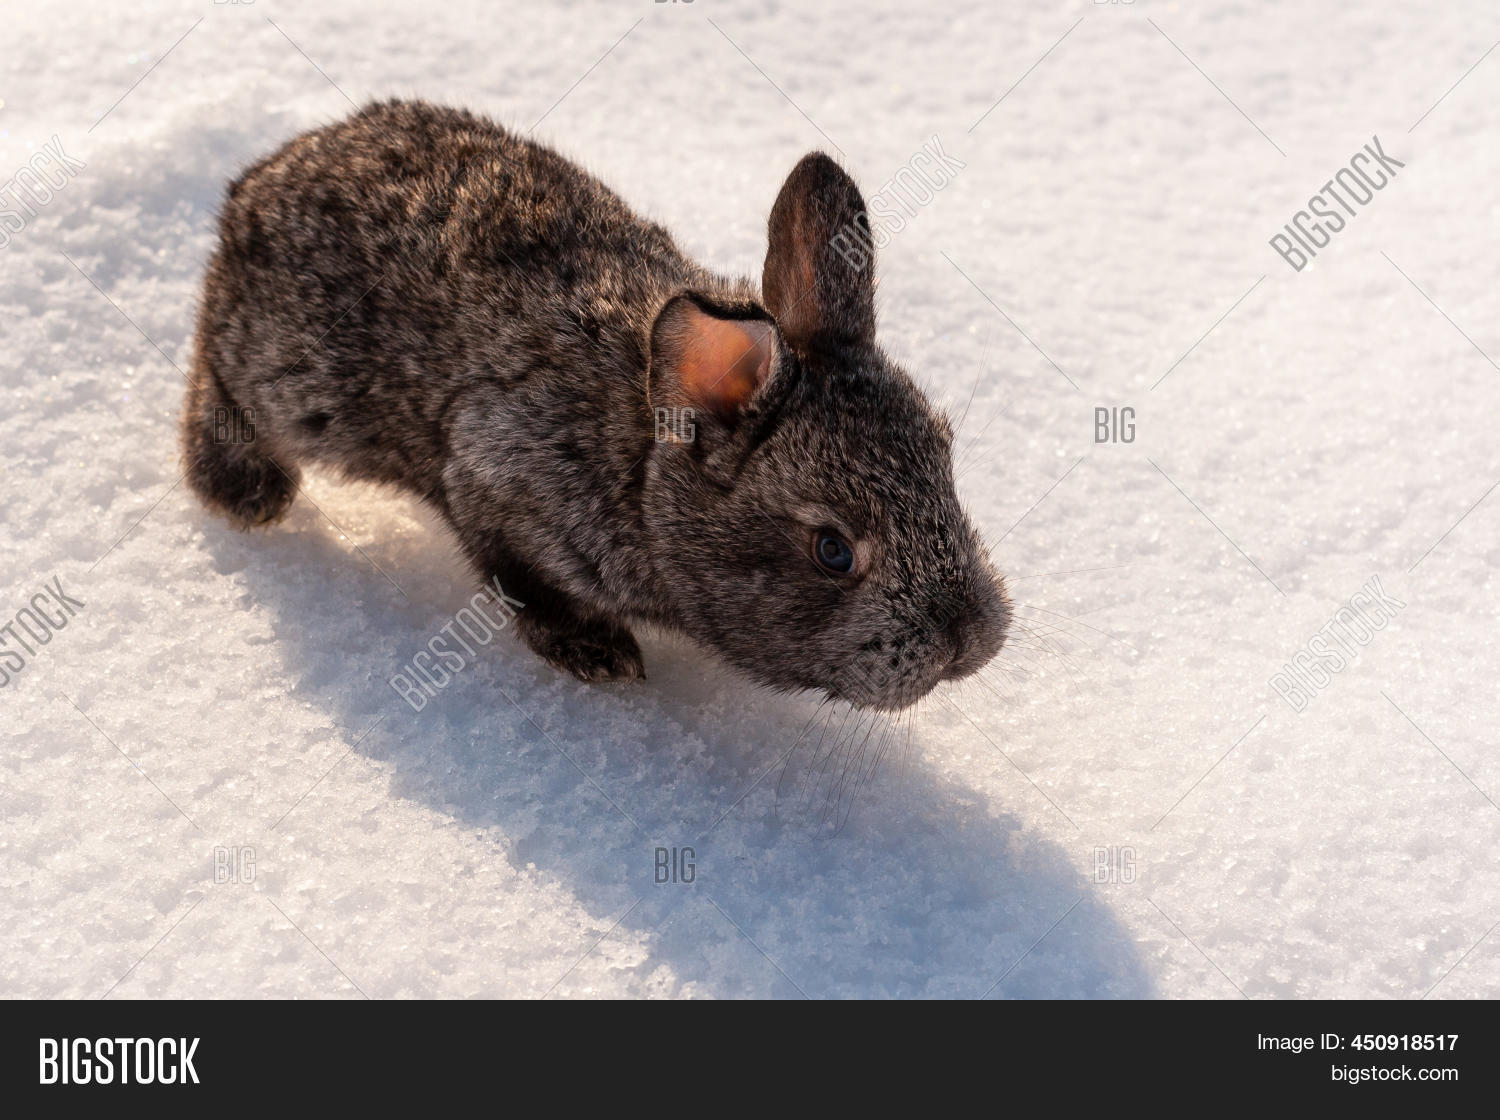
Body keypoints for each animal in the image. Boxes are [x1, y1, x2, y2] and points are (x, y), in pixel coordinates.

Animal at [180, 99, 1011, 711]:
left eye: (945, 464)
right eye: (832, 551)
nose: (967, 641)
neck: (645, 474)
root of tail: (257, 185)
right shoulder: (499, 479)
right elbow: (518, 576)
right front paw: (599, 655)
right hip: (293, 379)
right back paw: (242, 489)